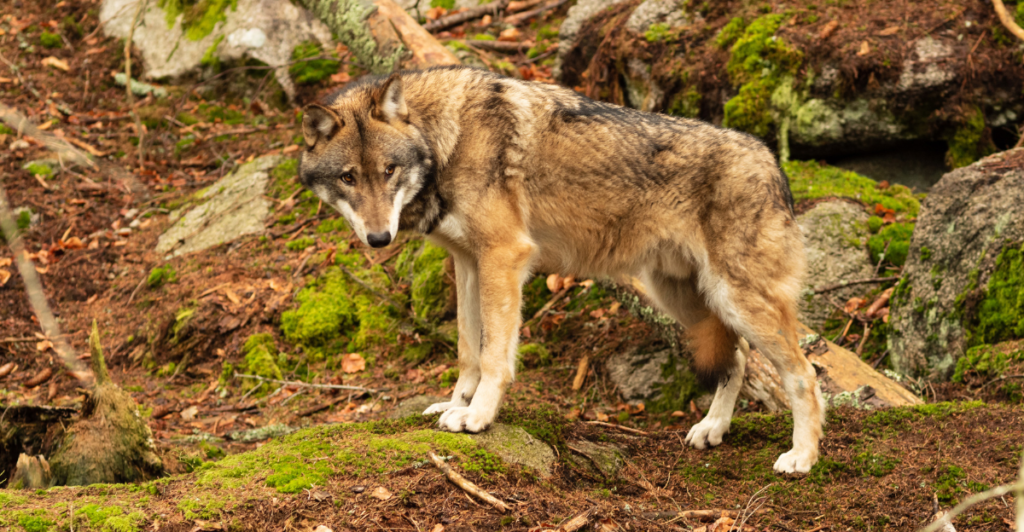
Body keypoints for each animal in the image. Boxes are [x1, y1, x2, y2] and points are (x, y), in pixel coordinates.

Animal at [298, 66, 826, 473]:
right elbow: (468, 350)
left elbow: (494, 357)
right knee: (737, 359)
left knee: (803, 373)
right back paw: (713, 428)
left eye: (389, 171)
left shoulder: (504, 256)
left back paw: (801, 457)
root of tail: (773, 162)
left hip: (733, 300)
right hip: (686, 302)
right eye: (349, 177)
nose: (378, 239)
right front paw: (455, 404)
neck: (444, 140)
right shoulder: (467, 262)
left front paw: (477, 417)